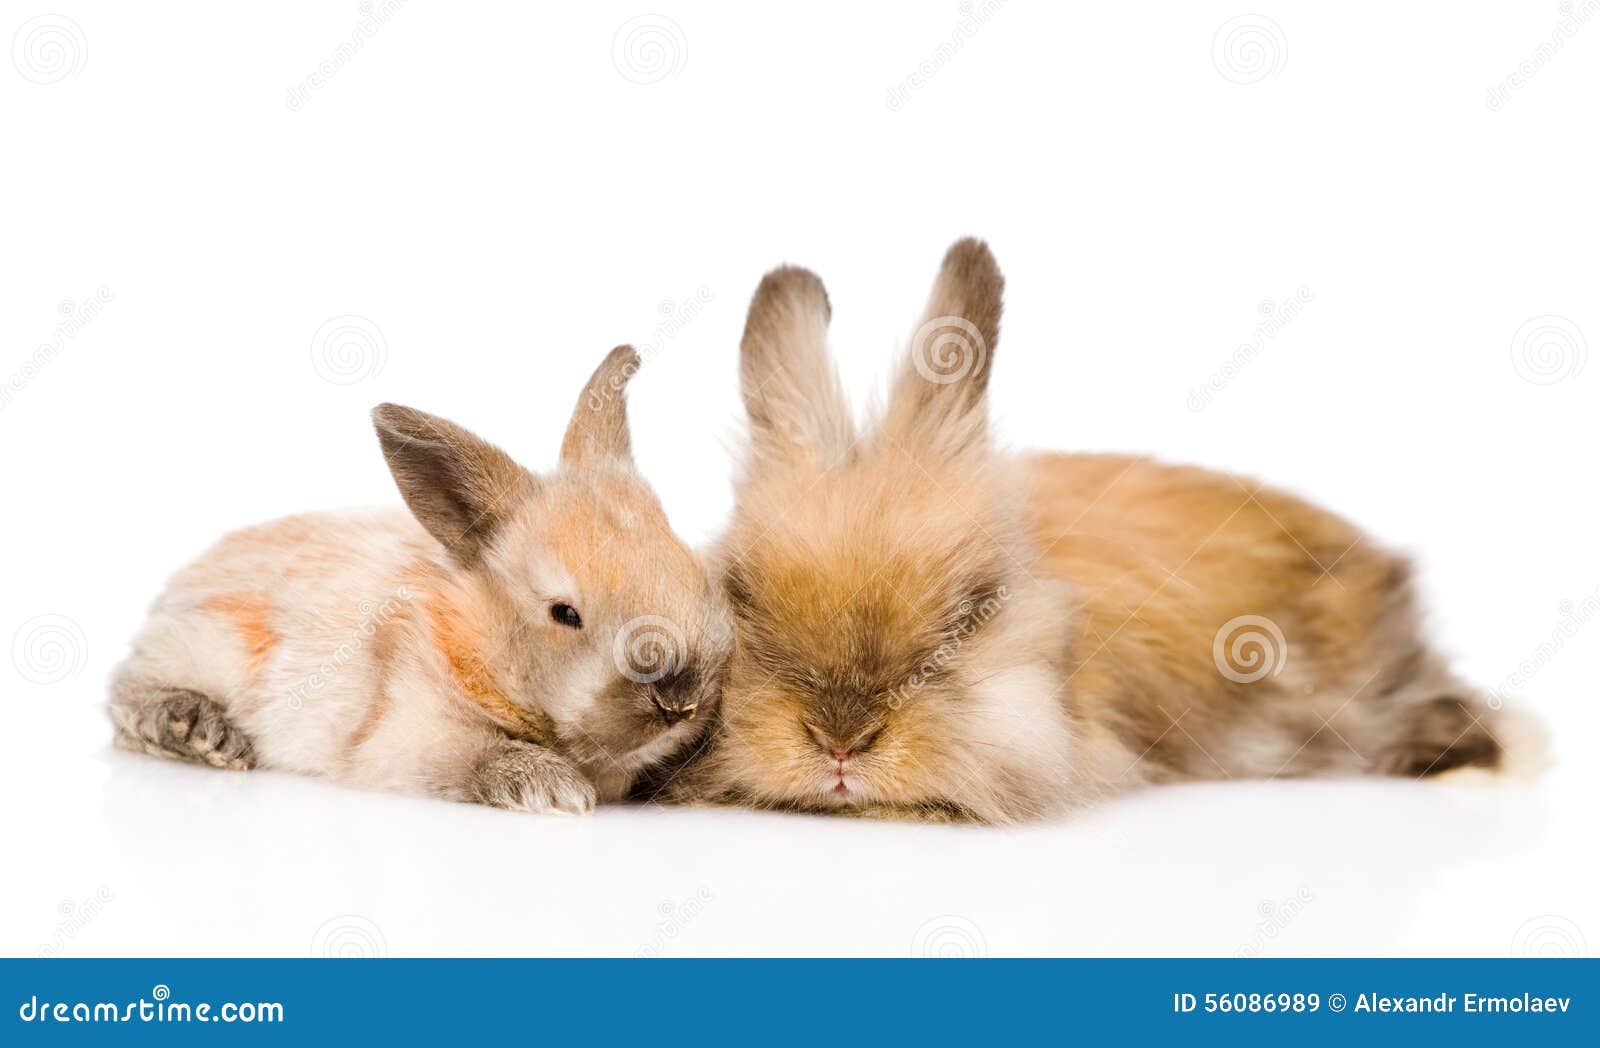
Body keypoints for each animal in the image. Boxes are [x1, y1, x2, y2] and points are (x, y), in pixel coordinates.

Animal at [110, 345, 732, 814]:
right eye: (564, 613)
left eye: (688, 567)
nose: (679, 701)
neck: (477, 644)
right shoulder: (404, 735)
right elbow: (473, 754)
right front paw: (554, 790)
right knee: (124, 695)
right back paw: (200, 732)